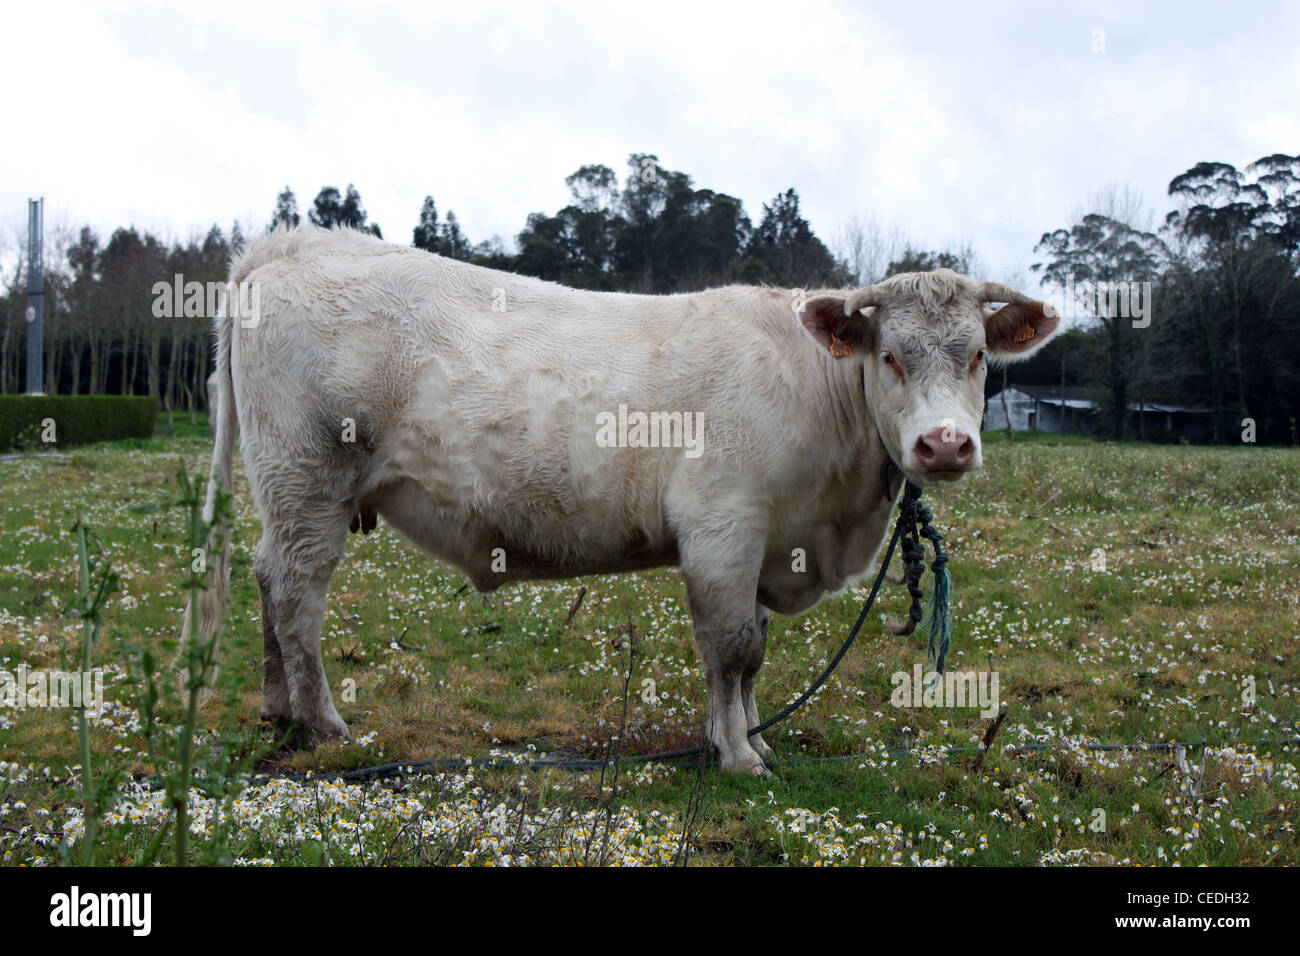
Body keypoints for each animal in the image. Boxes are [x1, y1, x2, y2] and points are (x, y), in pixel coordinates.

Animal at [193, 225, 1058, 775]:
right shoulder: (723, 526)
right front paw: (737, 756)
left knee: (268, 580)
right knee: (298, 596)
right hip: (308, 482)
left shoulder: (768, 541)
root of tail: (297, 241)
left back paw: (277, 709)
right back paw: (323, 724)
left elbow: (753, 656)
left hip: (290, 494)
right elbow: (731, 648)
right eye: (889, 357)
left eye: (978, 357)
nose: (944, 444)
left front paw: (751, 739)